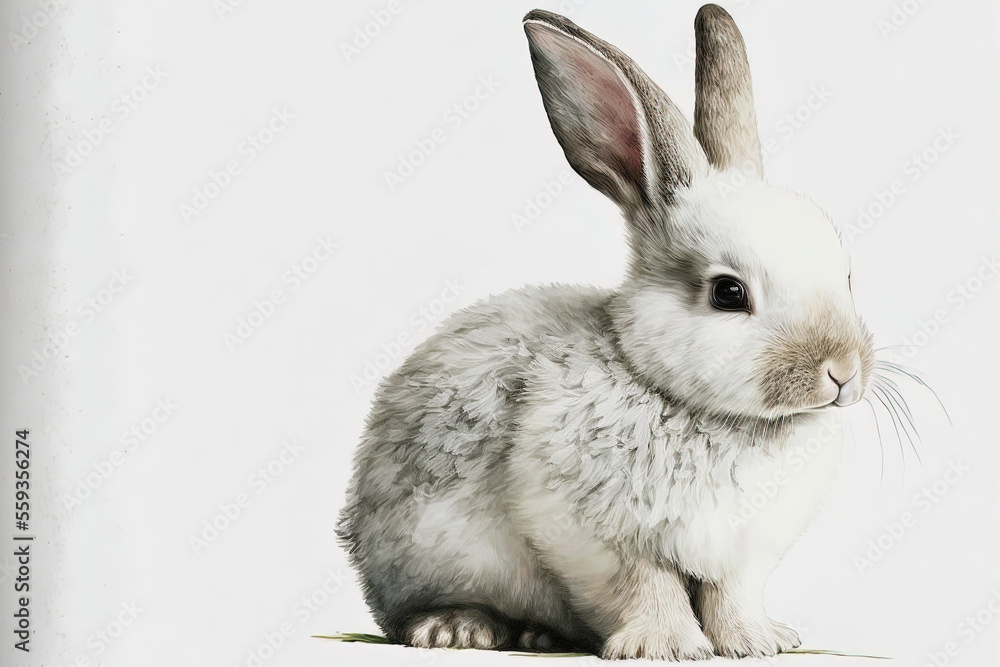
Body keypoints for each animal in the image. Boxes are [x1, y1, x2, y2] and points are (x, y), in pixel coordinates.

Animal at [337, 4, 874, 660]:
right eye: (729, 293)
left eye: (845, 276)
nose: (843, 371)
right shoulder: (600, 537)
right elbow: (646, 587)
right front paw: (668, 646)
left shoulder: (739, 556)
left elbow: (731, 597)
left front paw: (756, 643)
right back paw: (458, 629)